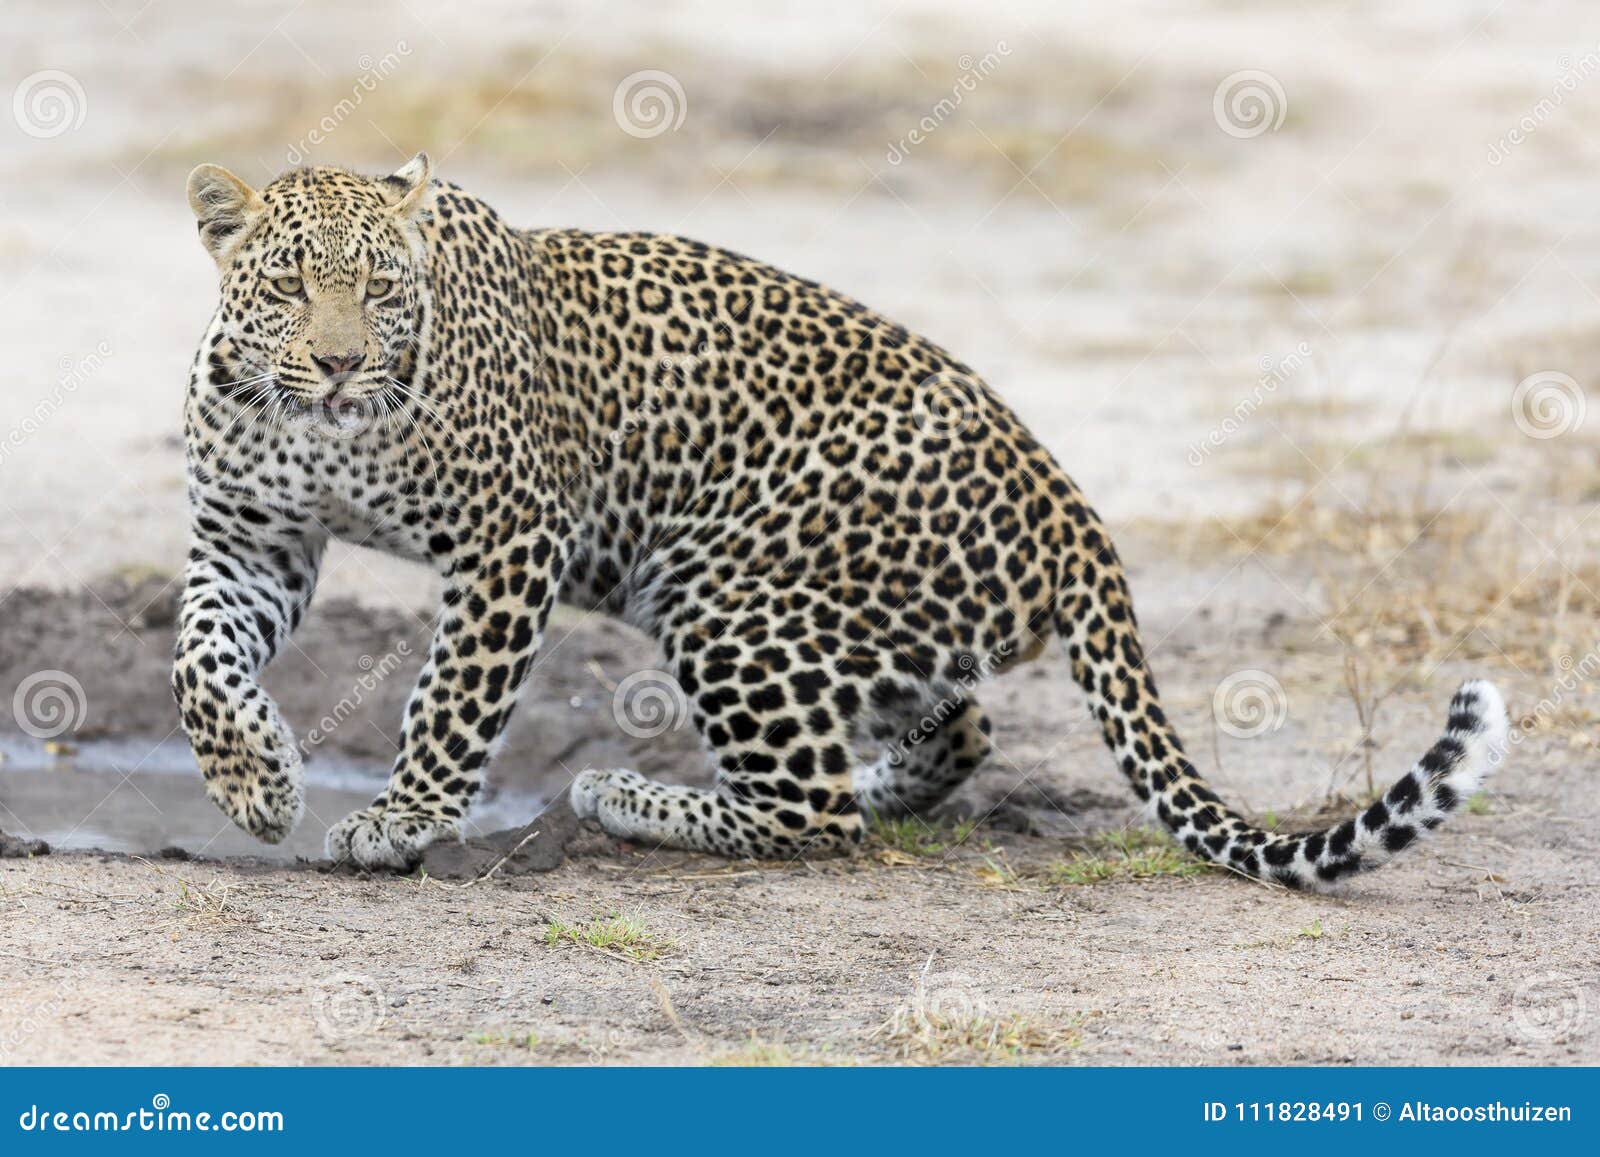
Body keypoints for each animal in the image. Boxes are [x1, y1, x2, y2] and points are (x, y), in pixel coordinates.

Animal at [172, 152, 1509, 889]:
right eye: (289, 285)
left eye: (381, 289)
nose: (342, 363)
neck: (320, 427)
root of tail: (1073, 508)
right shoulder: (250, 538)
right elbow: (197, 659)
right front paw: (258, 784)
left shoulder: (509, 541)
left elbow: (450, 700)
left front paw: (396, 820)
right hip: (855, 622)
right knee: (954, 728)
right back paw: (872, 776)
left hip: (725, 589)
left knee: (810, 813)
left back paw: (632, 796)